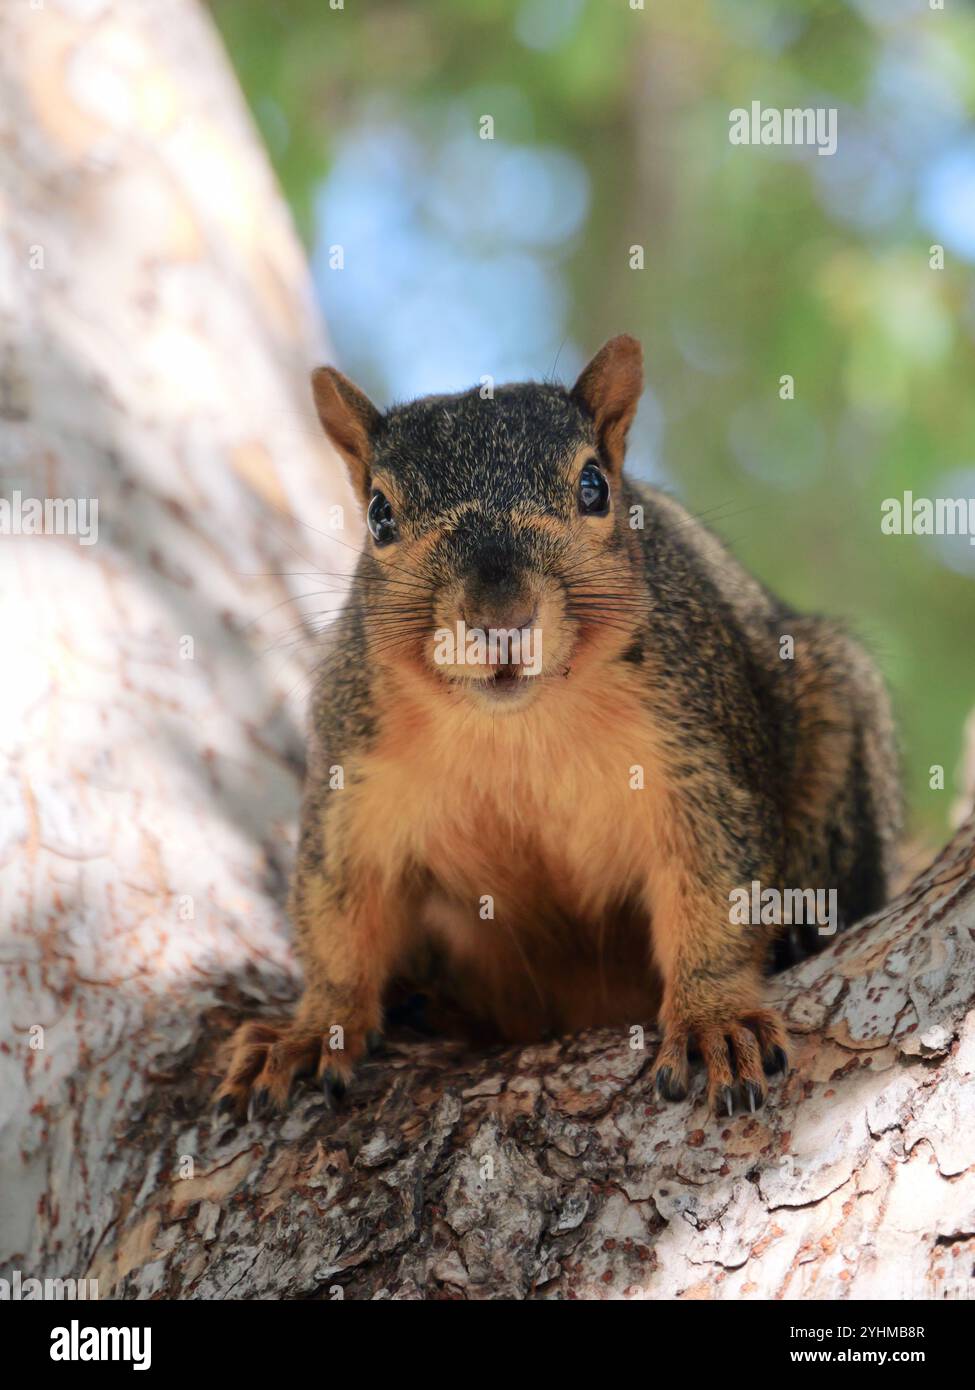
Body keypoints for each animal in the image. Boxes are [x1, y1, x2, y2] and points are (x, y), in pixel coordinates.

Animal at [215, 335, 901, 1119]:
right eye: (380, 515)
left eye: (594, 486)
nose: (499, 617)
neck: (518, 724)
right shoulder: (353, 783)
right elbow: (337, 914)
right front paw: (310, 1029)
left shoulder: (698, 761)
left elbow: (717, 890)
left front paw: (714, 1016)